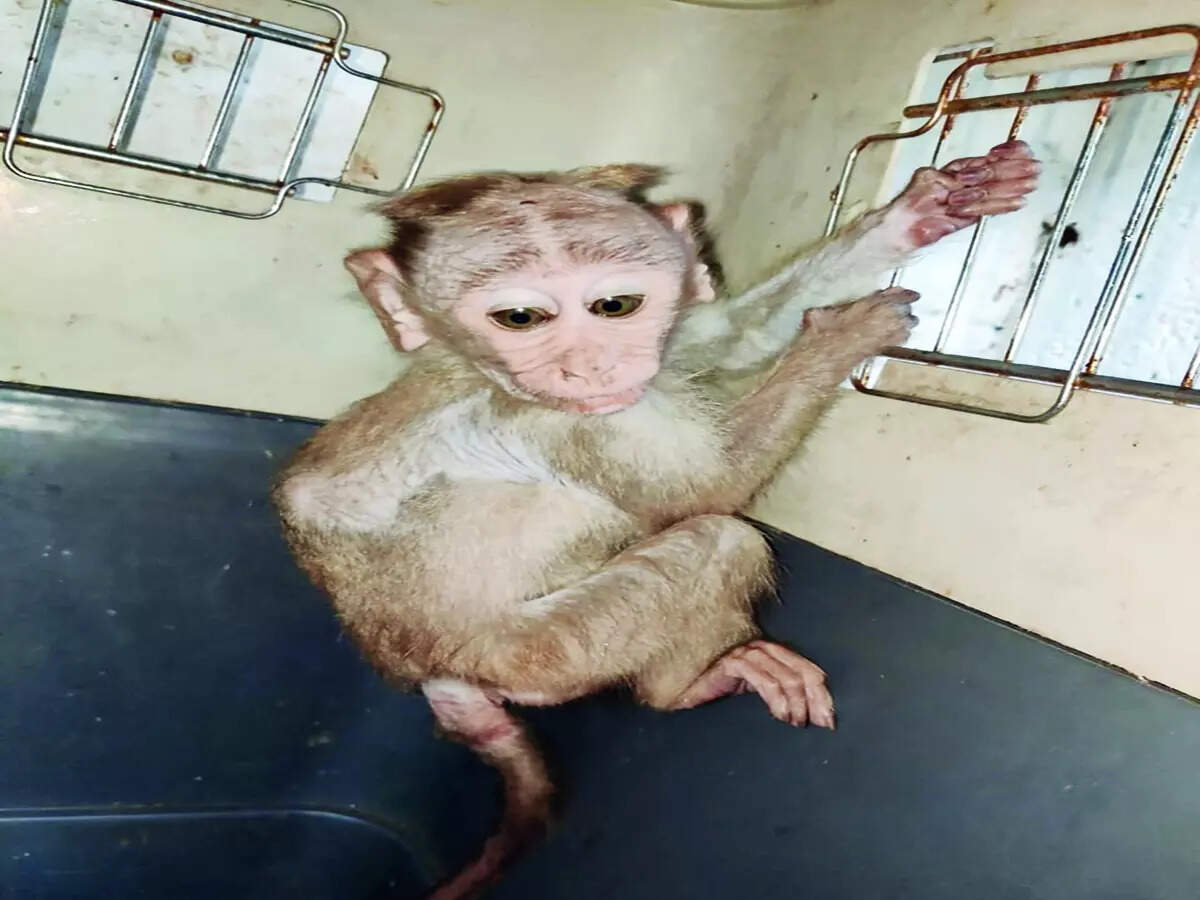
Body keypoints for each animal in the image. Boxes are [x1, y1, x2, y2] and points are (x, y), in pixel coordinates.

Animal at [270, 140, 1039, 900]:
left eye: (615, 304)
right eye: (521, 319)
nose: (589, 366)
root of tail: (431, 673)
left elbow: (726, 337)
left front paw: (928, 209)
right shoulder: (573, 425)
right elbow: (714, 484)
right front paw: (846, 335)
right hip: (540, 656)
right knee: (720, 541)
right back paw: (690, 686)